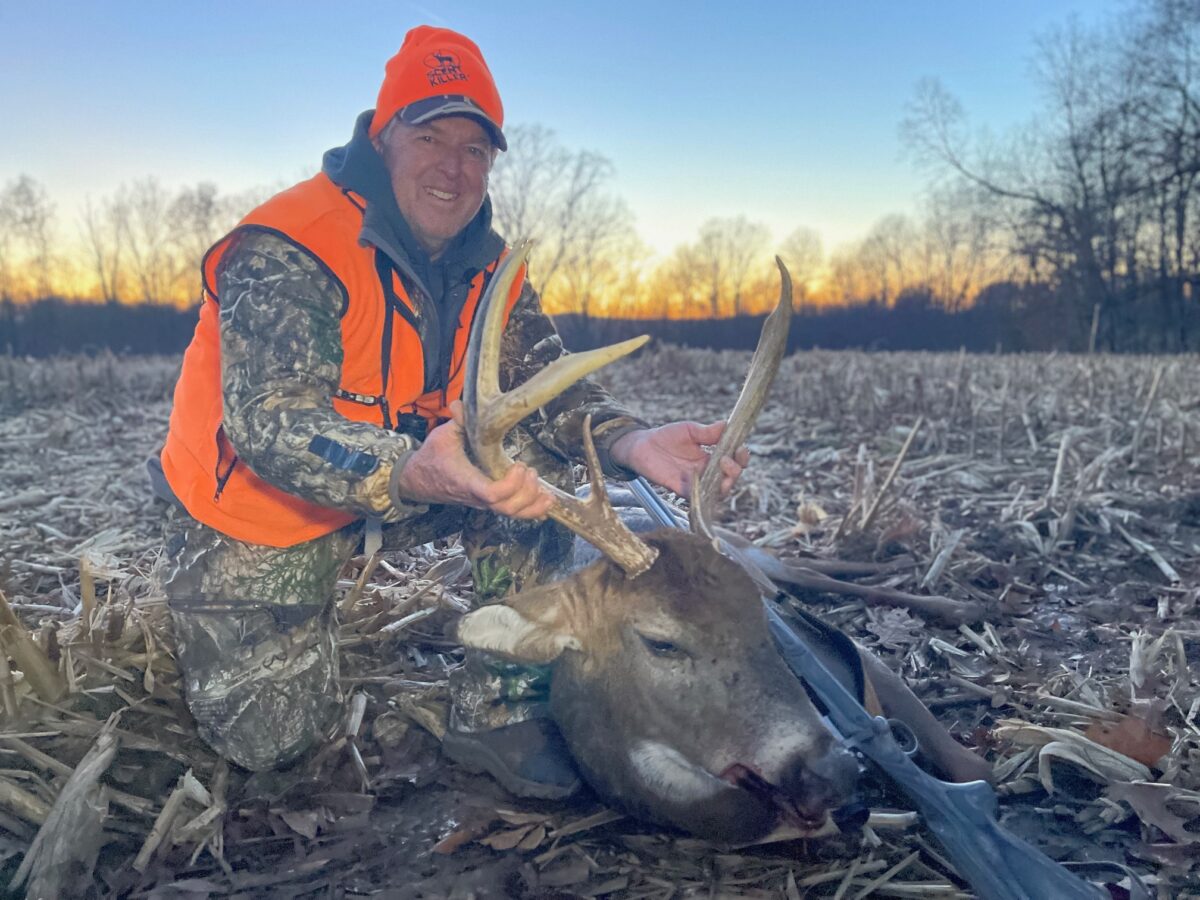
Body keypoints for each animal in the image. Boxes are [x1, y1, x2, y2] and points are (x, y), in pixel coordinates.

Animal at [453, 243, 990, 844]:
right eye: (661, 642)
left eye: (759, 621)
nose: (833, 770)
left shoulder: (861, 663)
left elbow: (976, 767)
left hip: (755, 554)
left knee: (811, 569)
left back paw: (960, 598)